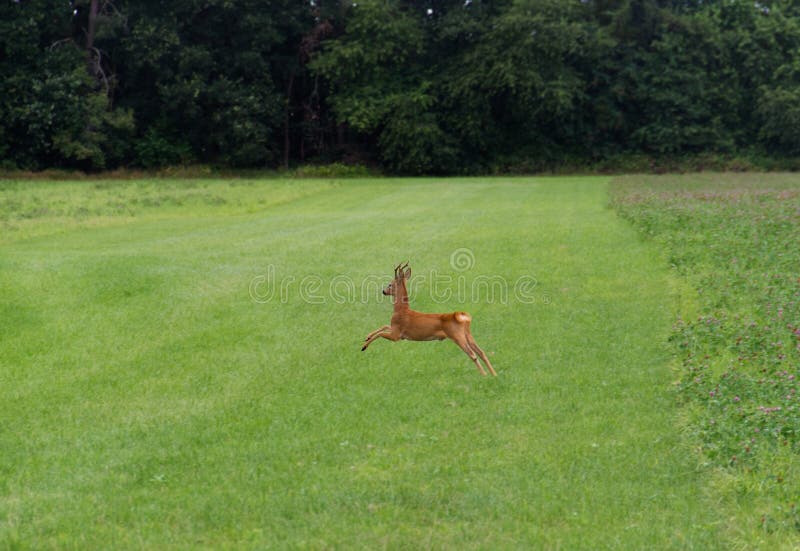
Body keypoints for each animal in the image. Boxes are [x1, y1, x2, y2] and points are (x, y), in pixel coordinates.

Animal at [361, 262, 497, 376]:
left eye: (390, 284)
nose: (383, 291)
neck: (401, 311)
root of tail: (460, 316)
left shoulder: (397, 335)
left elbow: (381, 333)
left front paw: (364, 346)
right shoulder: (396, 329)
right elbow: (384, 326)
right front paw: (367, 337)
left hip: (456, 335)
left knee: (473, 355)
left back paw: (484, 375)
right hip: (467, 334)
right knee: (481, 352)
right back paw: (493, 374)